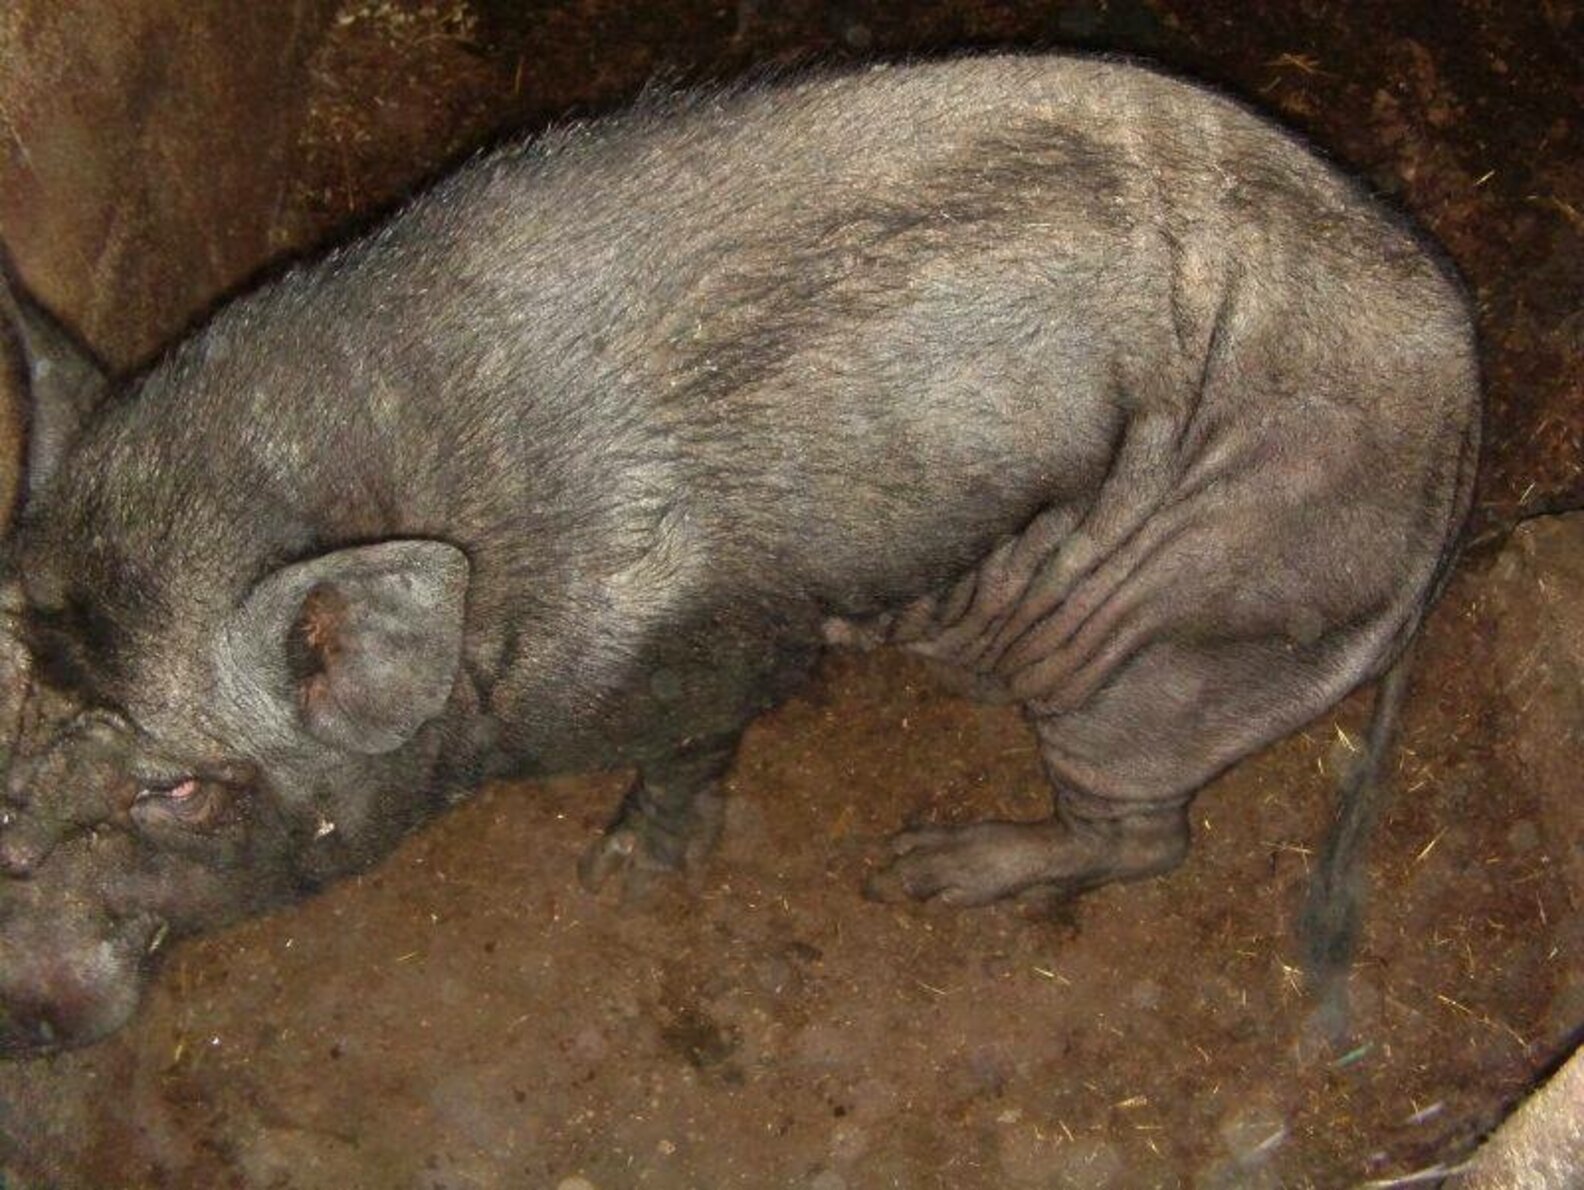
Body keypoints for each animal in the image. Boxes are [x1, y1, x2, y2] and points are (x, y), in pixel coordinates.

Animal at [0, 53, 1481, 1054]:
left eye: (179, 791)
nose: (21, 1008)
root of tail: (1470, 394)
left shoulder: (703, 656)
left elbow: (693, 751)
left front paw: (617, 877)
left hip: (1165, 643)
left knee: (1150, 834)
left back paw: (918, 870)